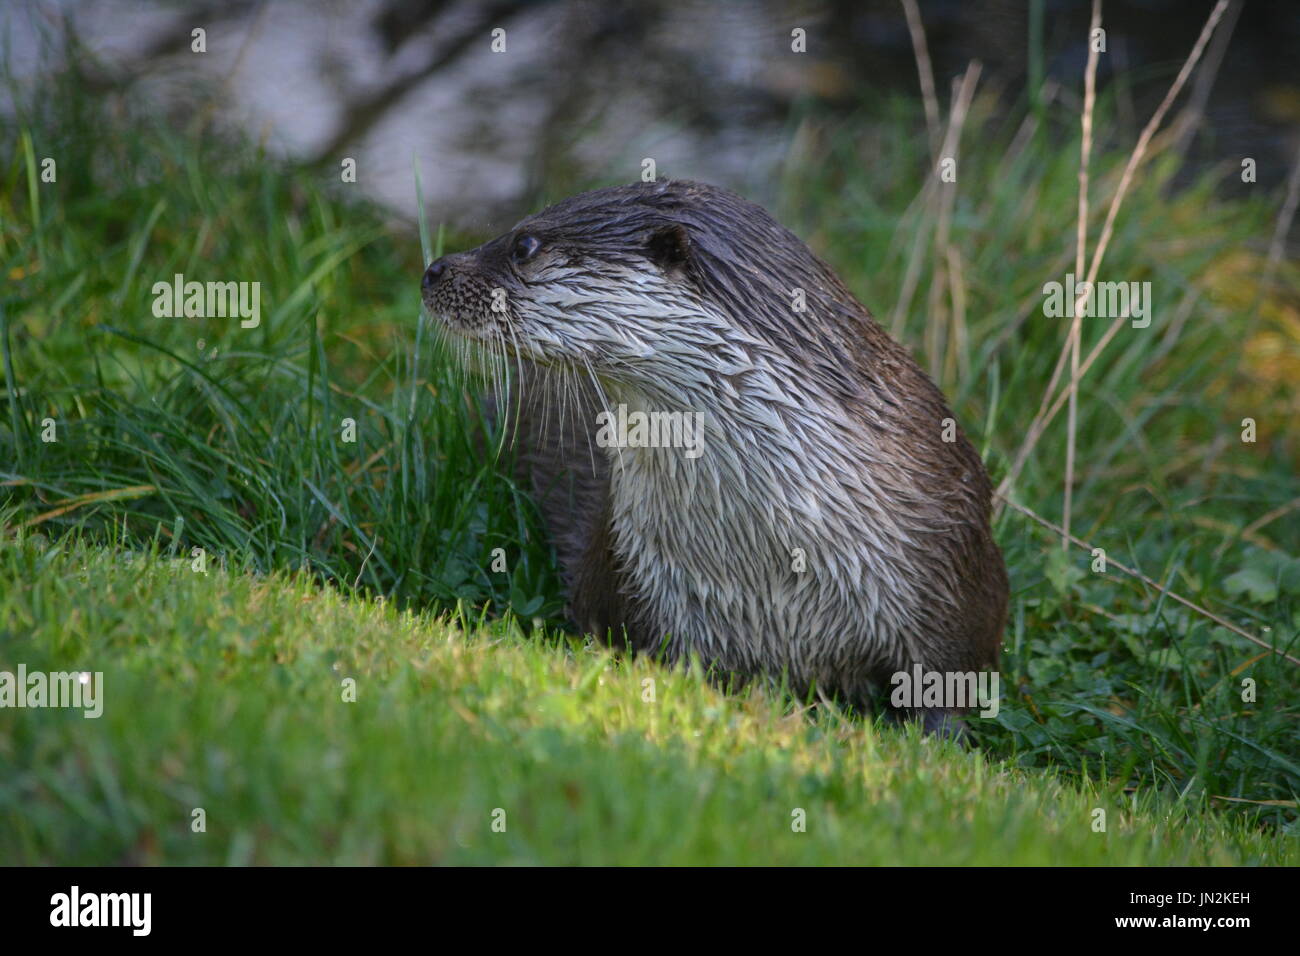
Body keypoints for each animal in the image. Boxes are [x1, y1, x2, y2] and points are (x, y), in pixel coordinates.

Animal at [421, 180, 1007, 733]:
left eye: (525, 244)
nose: (434, 269)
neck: (769, 565)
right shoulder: (633, 576)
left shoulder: (951, 571)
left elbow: (948, 683)